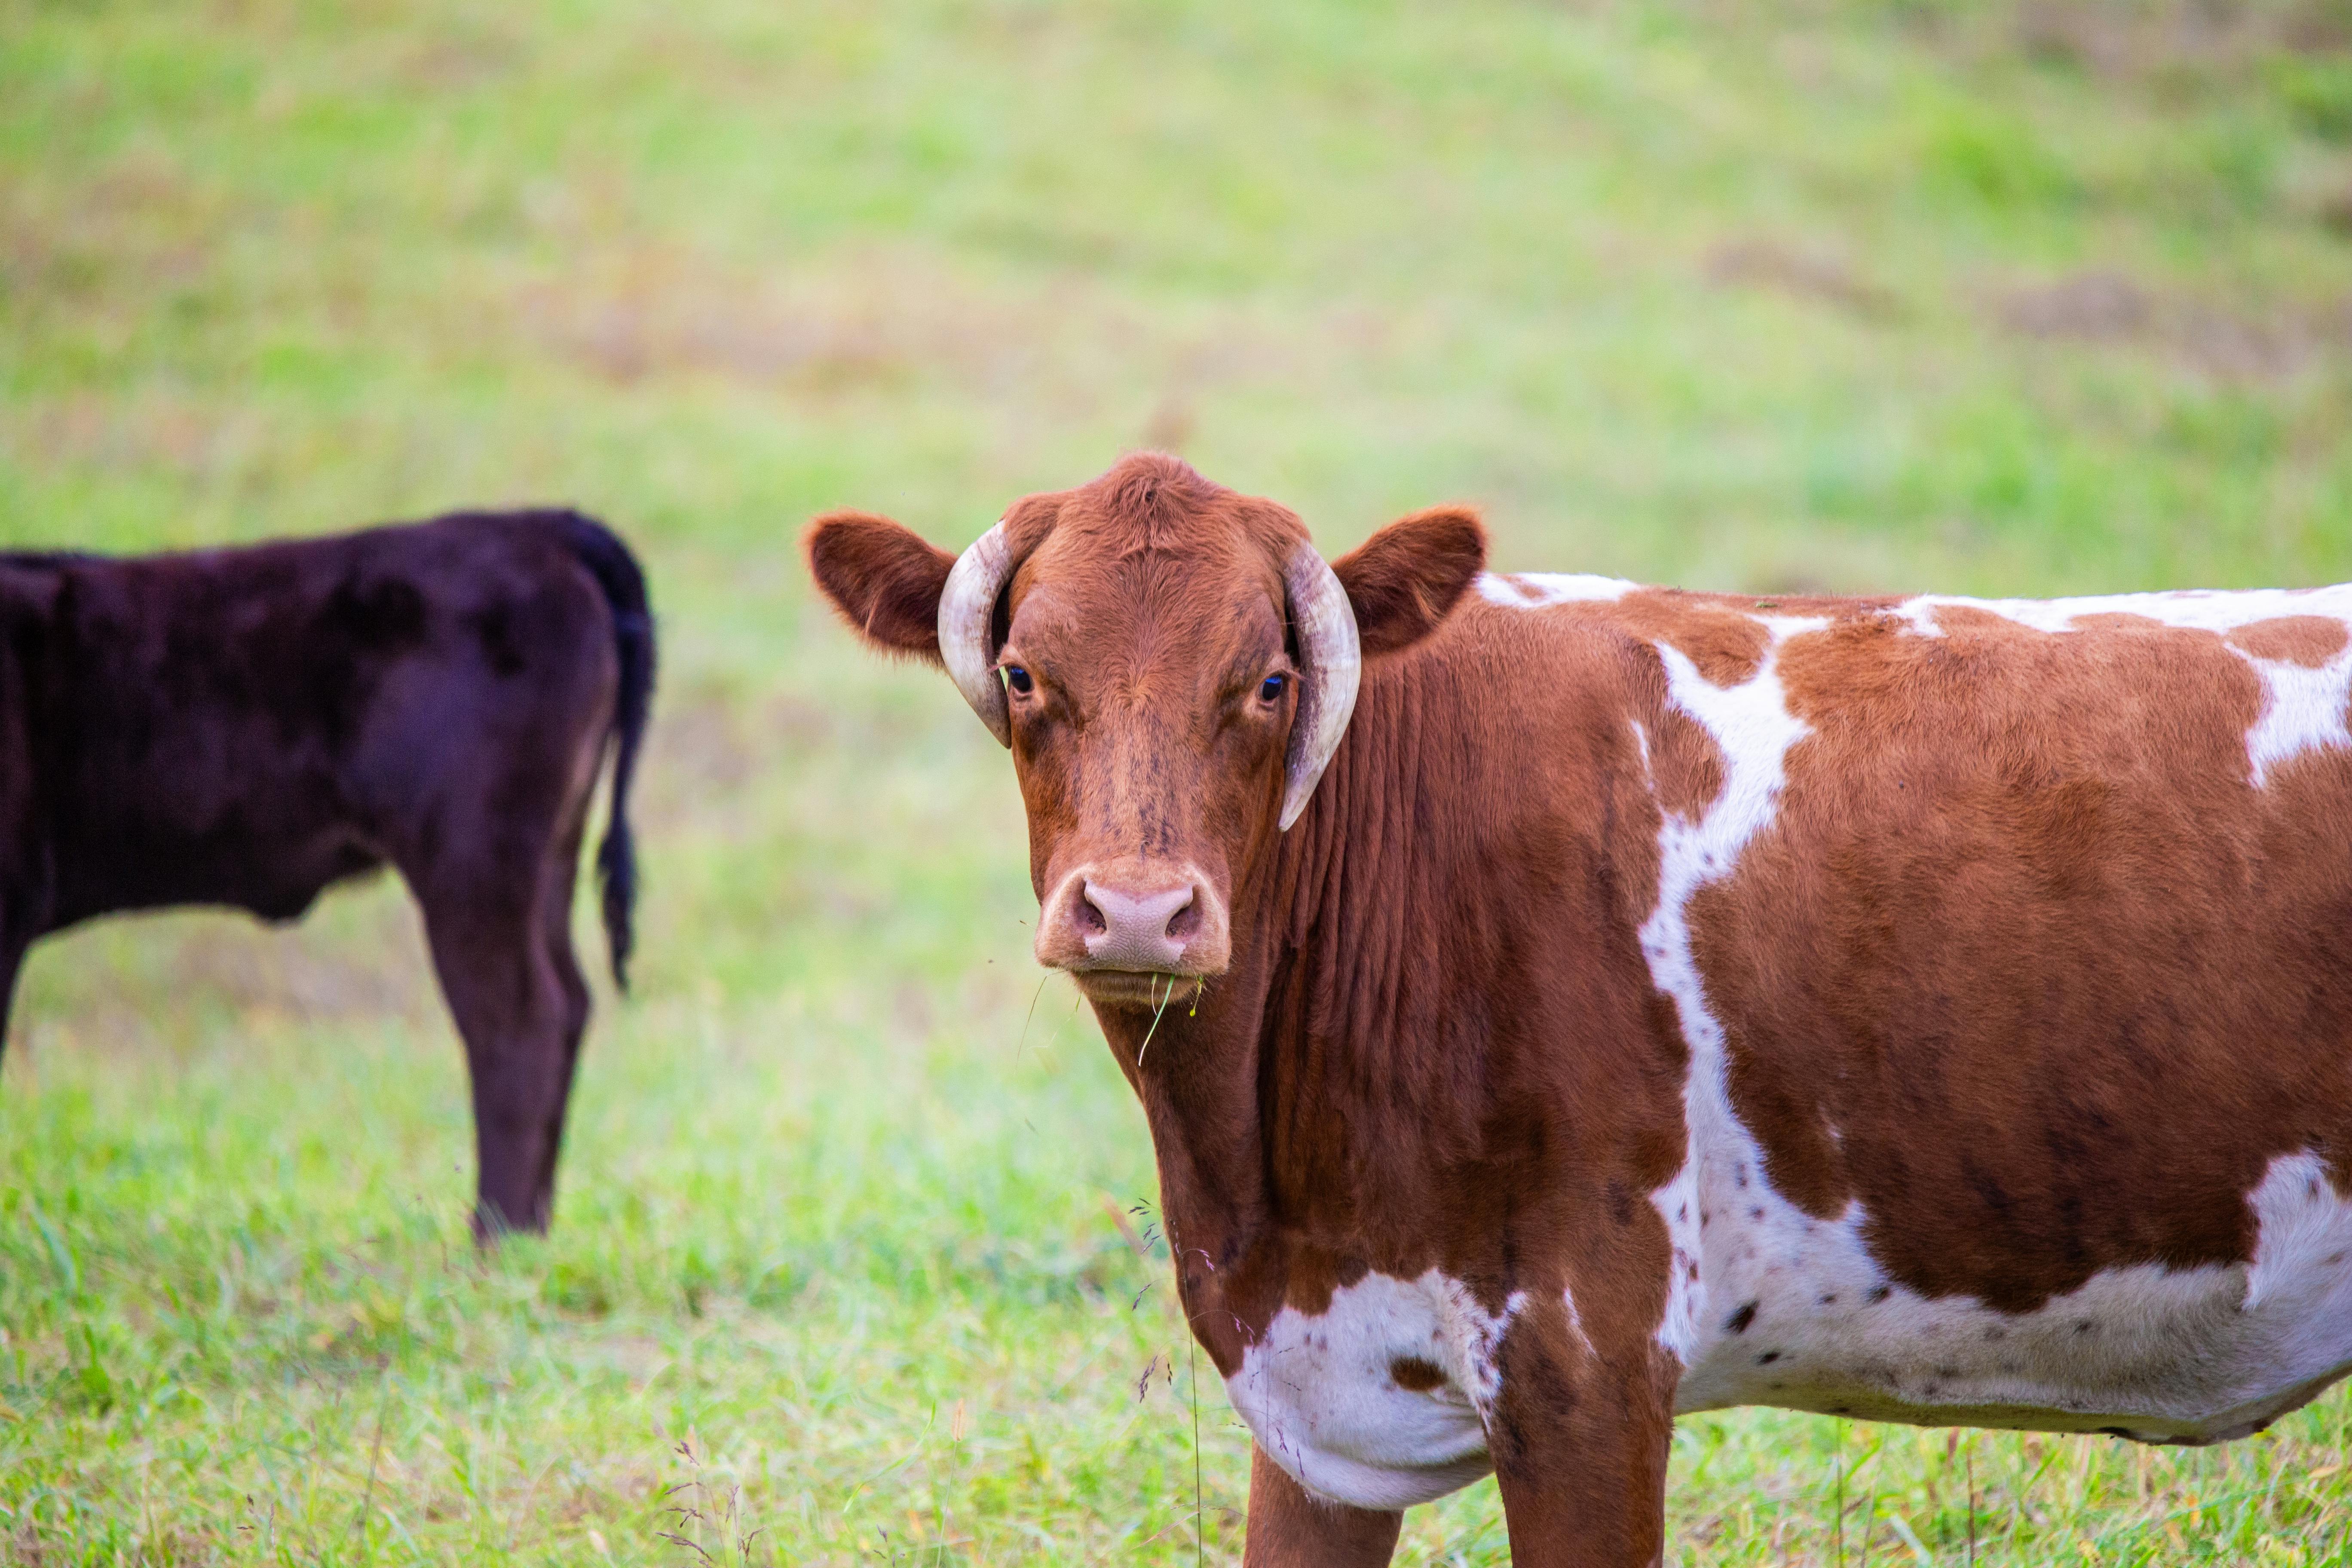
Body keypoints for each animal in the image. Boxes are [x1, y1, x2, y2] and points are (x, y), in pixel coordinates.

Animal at [0, 510, 654, 1238]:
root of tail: (543, 526)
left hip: (475, 862)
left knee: (519, 1021)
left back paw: (497, 1243)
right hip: (544, 865)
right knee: (565, 1004)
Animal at [806, 451, 2352, 1566]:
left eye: (1269, 680)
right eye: (1025, 675)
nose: (1137, 912)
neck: (1260, 1178)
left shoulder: (1589, 1369)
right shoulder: (1318, 1408)